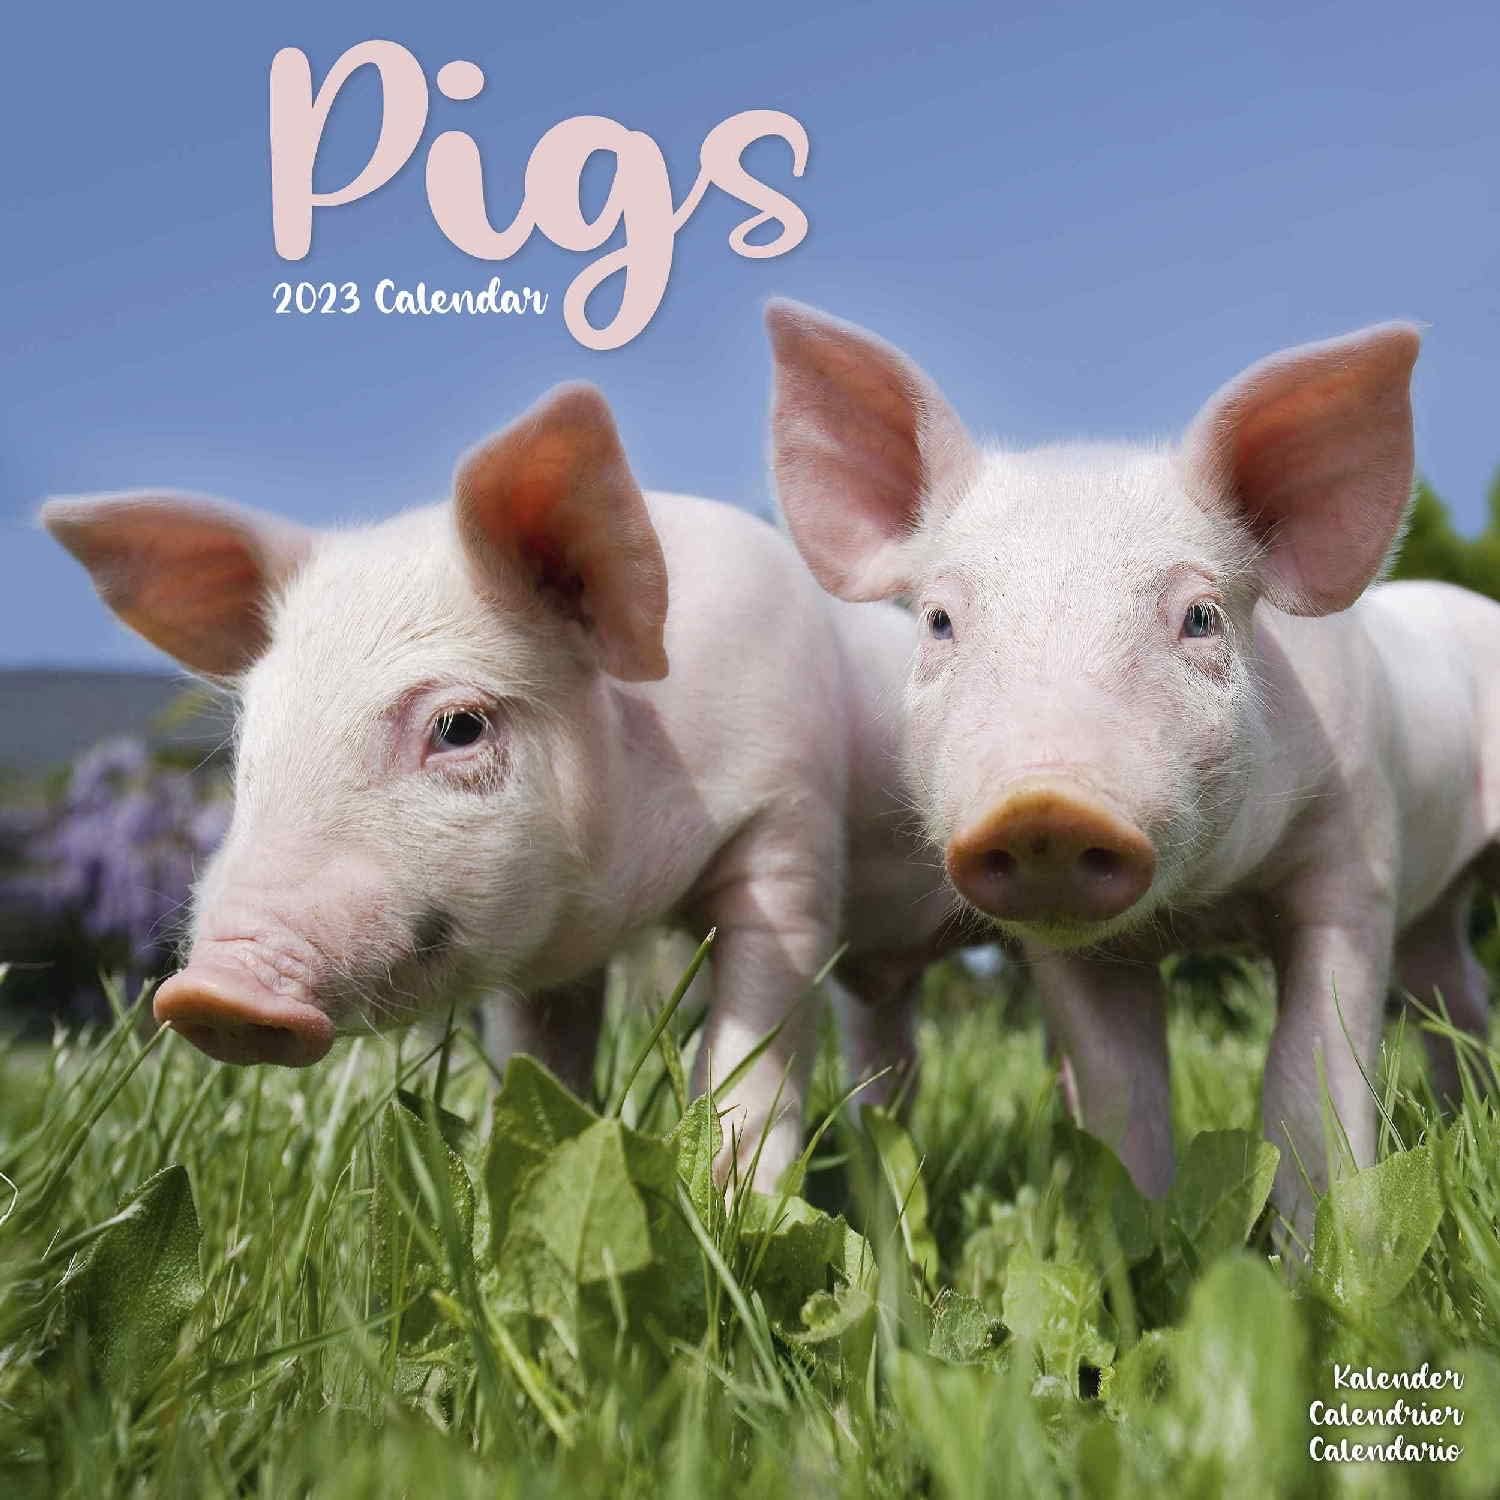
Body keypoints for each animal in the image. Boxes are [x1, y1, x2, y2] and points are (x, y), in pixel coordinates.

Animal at [41, 383, 951, 1188]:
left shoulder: (790, 817)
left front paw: (737, 1201)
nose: (213, 992)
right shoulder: (544, 957)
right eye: (248, 740)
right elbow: (541, 1061)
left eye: (459, 726)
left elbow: (755, 1035)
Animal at [766, 299, 1500, 1237]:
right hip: (1435, 914)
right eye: (937, 621)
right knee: (1457, 993)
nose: (1043, 806)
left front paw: (1315, 1255)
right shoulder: (1069, 955)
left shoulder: (1358, 858)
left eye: (1201, 616)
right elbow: (1124, 1100)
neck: (1204, 912)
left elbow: (1309, 1085)